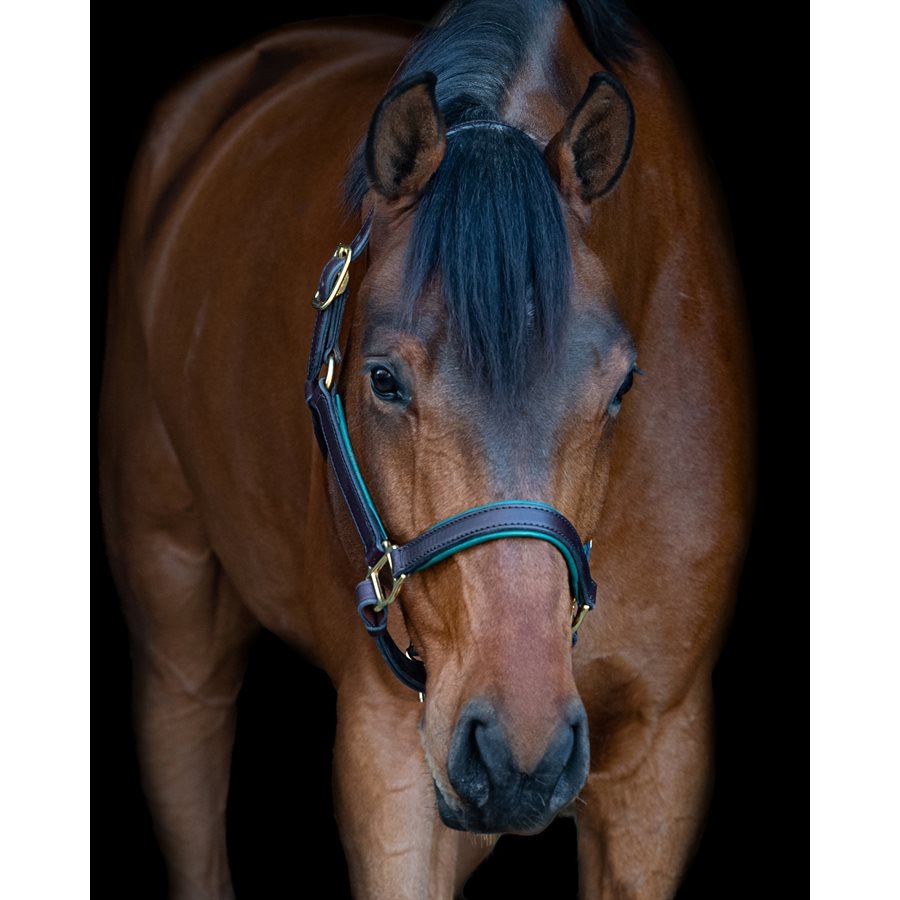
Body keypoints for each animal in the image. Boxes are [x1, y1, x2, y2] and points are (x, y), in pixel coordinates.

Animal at [100, 0, 754, 896]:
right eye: (383, 380)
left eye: (621, 386)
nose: (516, 756)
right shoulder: (388, 755)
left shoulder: (662, 752)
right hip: (177, 623)